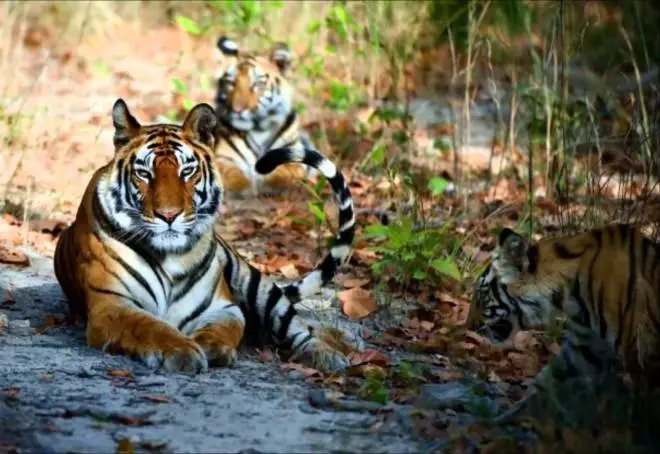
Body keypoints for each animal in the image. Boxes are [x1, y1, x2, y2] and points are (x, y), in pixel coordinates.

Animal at [53, 98, 356, 372]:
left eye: (187, 171)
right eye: (144, 174)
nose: (168, 215)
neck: (169, 257)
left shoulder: (223, 308)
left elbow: (221, 330)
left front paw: (211, 348)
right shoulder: (112, 304)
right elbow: (150, 326)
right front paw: (182, 351)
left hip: (257, 284)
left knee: (300, 328)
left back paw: (331, 355)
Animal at [210, 36, 316, 196]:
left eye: (256, 83)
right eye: (231, 83)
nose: (237, 109)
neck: (259, 128)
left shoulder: (292, 157)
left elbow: (284, 172)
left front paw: (272, 184)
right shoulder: (223, 158)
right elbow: (231, 174)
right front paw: (243, 188)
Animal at [470, 226, 660, 422]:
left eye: (482, 295)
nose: (469, 326)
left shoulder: (640, 358)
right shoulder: (584, 348)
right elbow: (546, 381)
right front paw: (498, 420)